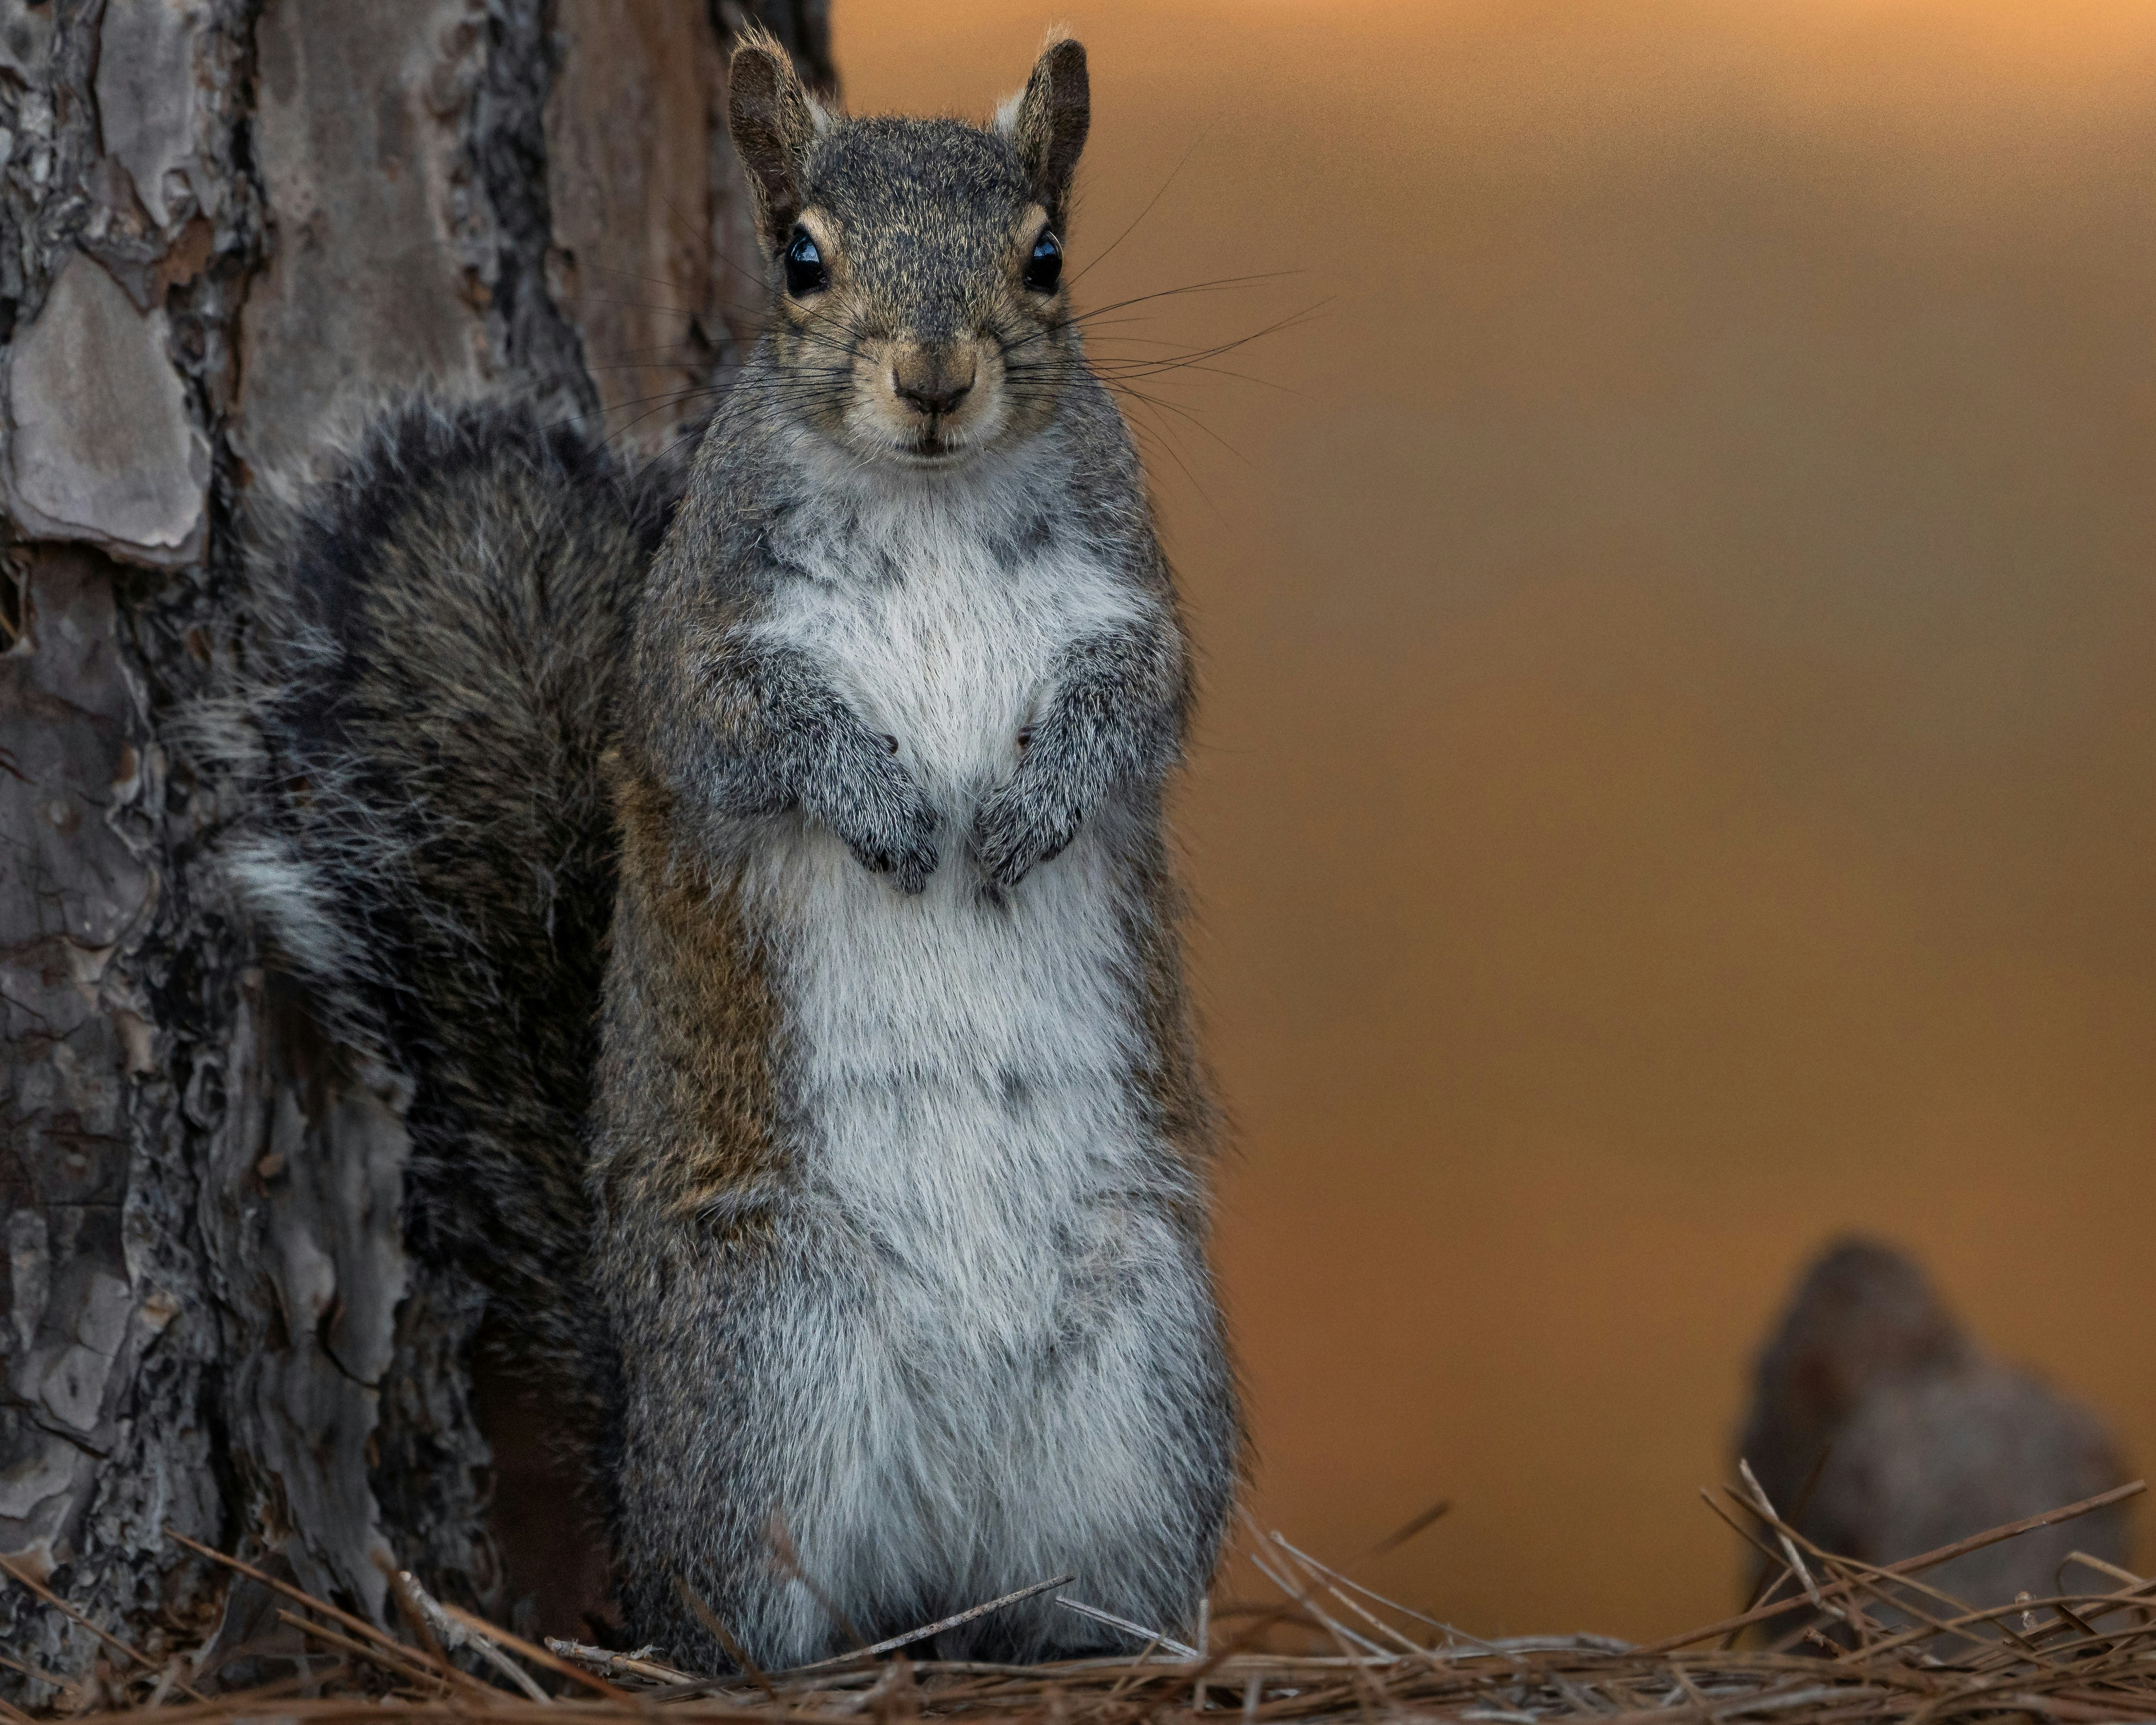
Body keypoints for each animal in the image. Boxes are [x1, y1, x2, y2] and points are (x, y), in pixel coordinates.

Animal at [215, 27, 1240, 1670]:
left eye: (1046, 256)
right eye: (800, 259)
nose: (934, 378)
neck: (927, 501)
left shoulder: (1136, 615)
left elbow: (1131, 707)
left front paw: (1031, 805)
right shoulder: (693, 652)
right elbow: (747, 732)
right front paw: (882, 801)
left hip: (1144, 1373)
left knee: (1092, 1583)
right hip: (762, 1363)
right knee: (723, 1609)